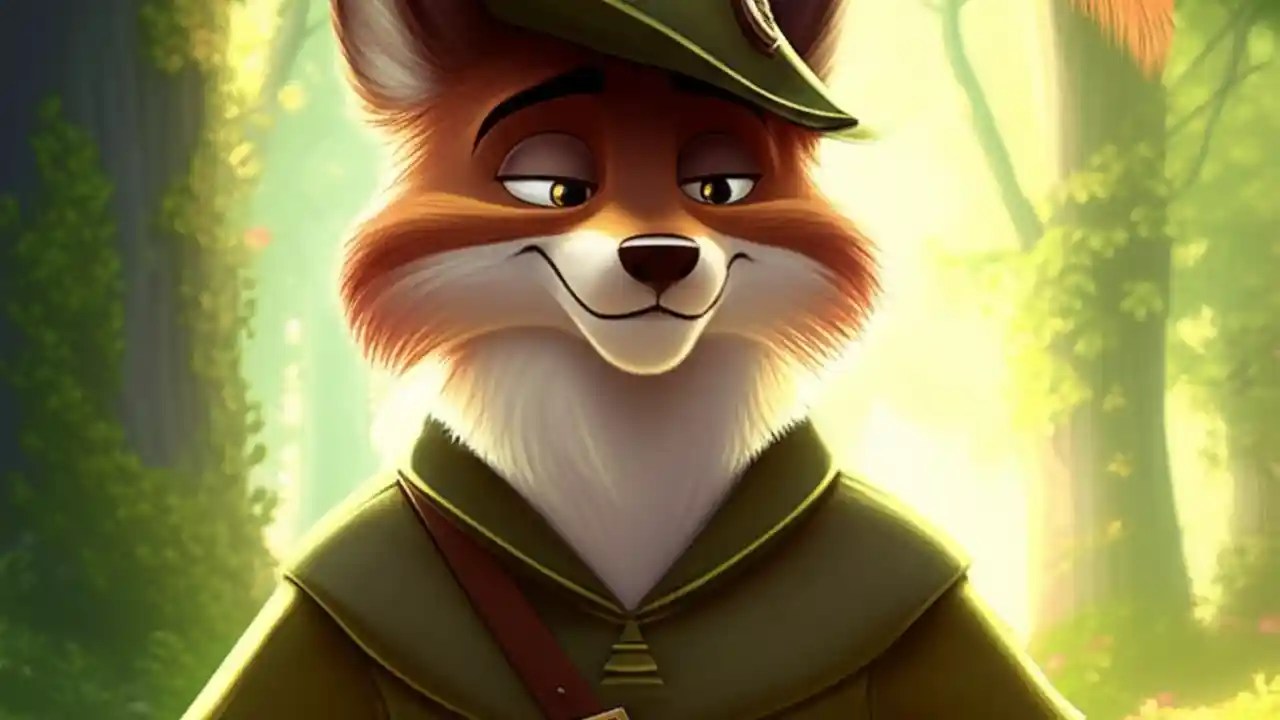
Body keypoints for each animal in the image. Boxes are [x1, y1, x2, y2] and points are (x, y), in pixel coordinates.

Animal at [183, 1, 1084, 718]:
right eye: (551, 187)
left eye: (720, 186)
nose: (660, 256)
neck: (626, 458)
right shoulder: (335, 586)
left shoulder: (916, 586)